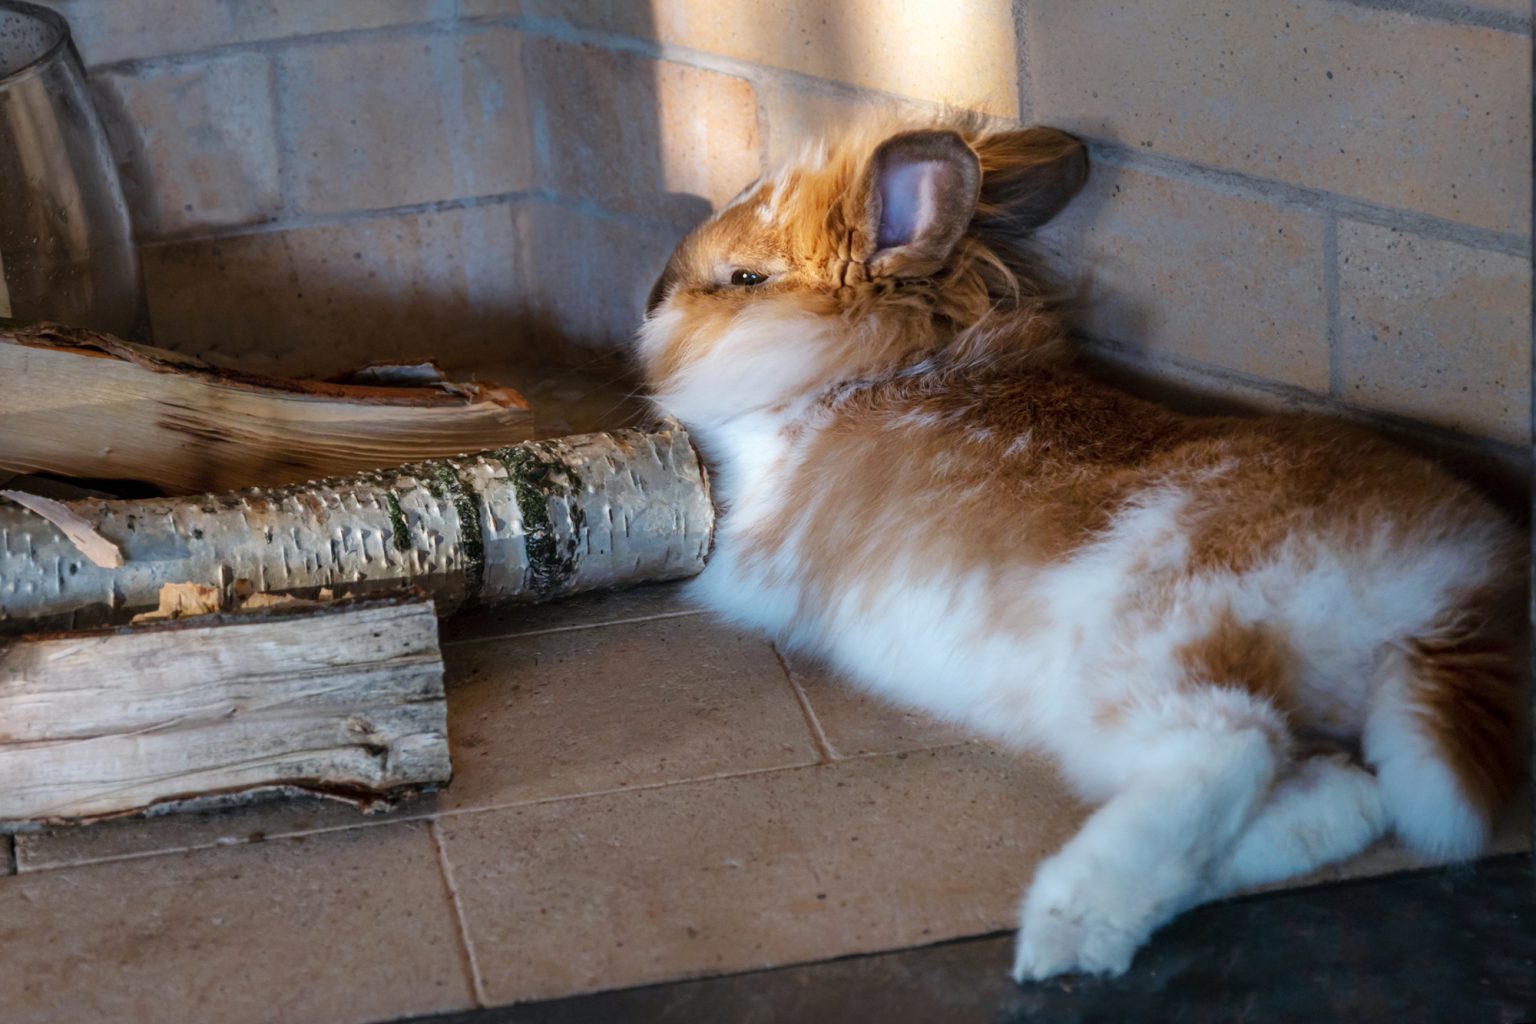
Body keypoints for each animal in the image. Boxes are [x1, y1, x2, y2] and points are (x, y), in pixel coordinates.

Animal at [635, 116, 1526, 982]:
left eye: (745, 280)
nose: (651, 297)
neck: (866, 367)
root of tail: (1454, 597)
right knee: (1351, 795)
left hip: (1158, 645)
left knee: (1231, 746)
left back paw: (1064, 930)